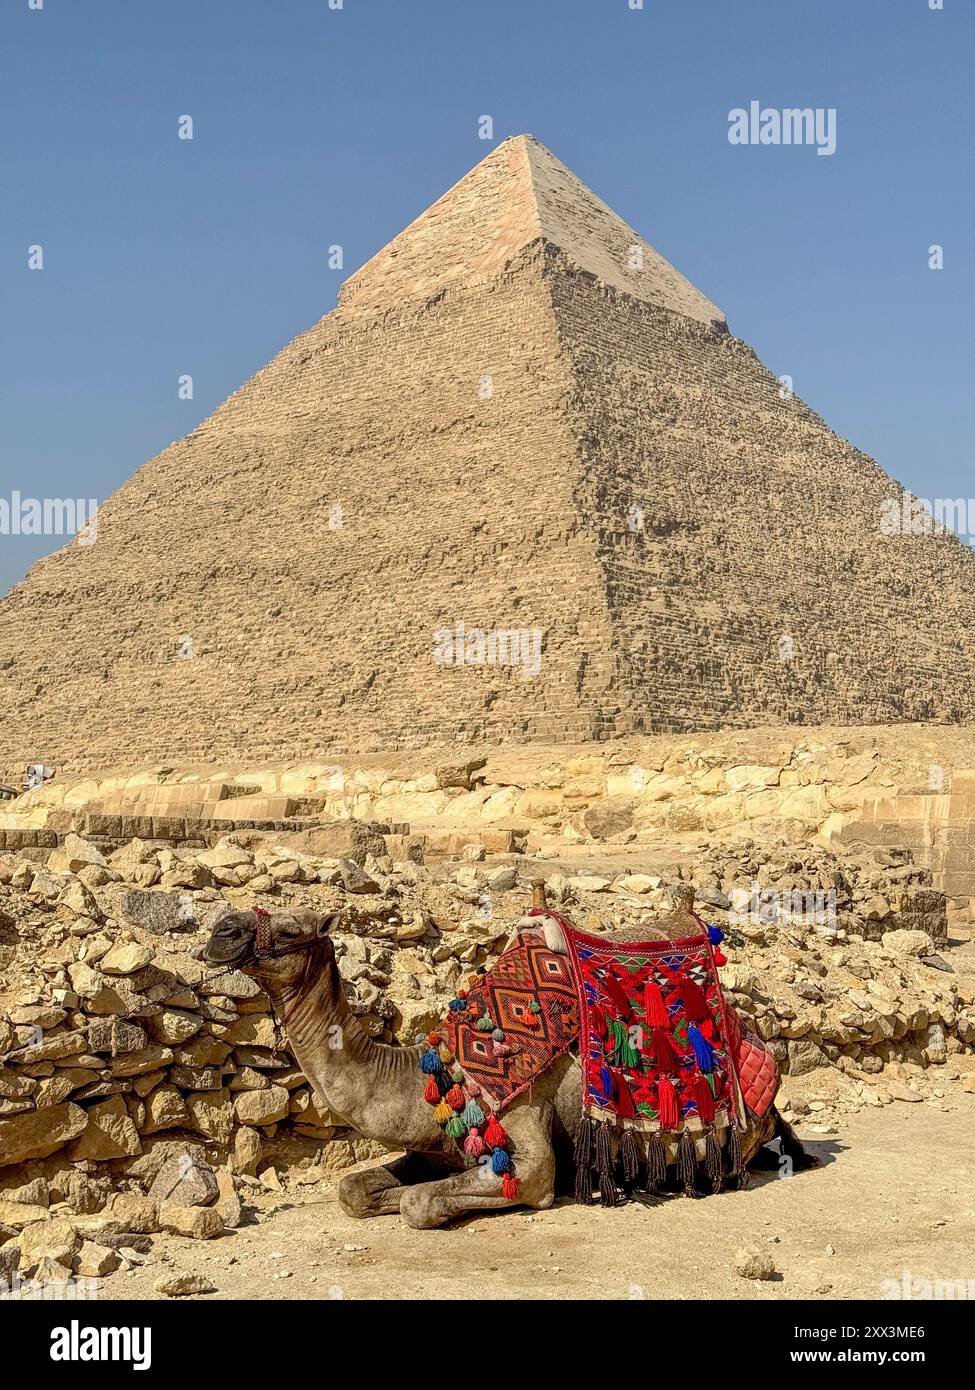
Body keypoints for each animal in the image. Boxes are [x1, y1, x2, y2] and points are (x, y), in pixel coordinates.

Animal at [202, 885, 816, 1228]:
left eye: (291, 928)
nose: (220, 930)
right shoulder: (436, 1143)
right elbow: (353, 1190)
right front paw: (380, 1194)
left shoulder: (526, 1133)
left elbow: (422, 1203)